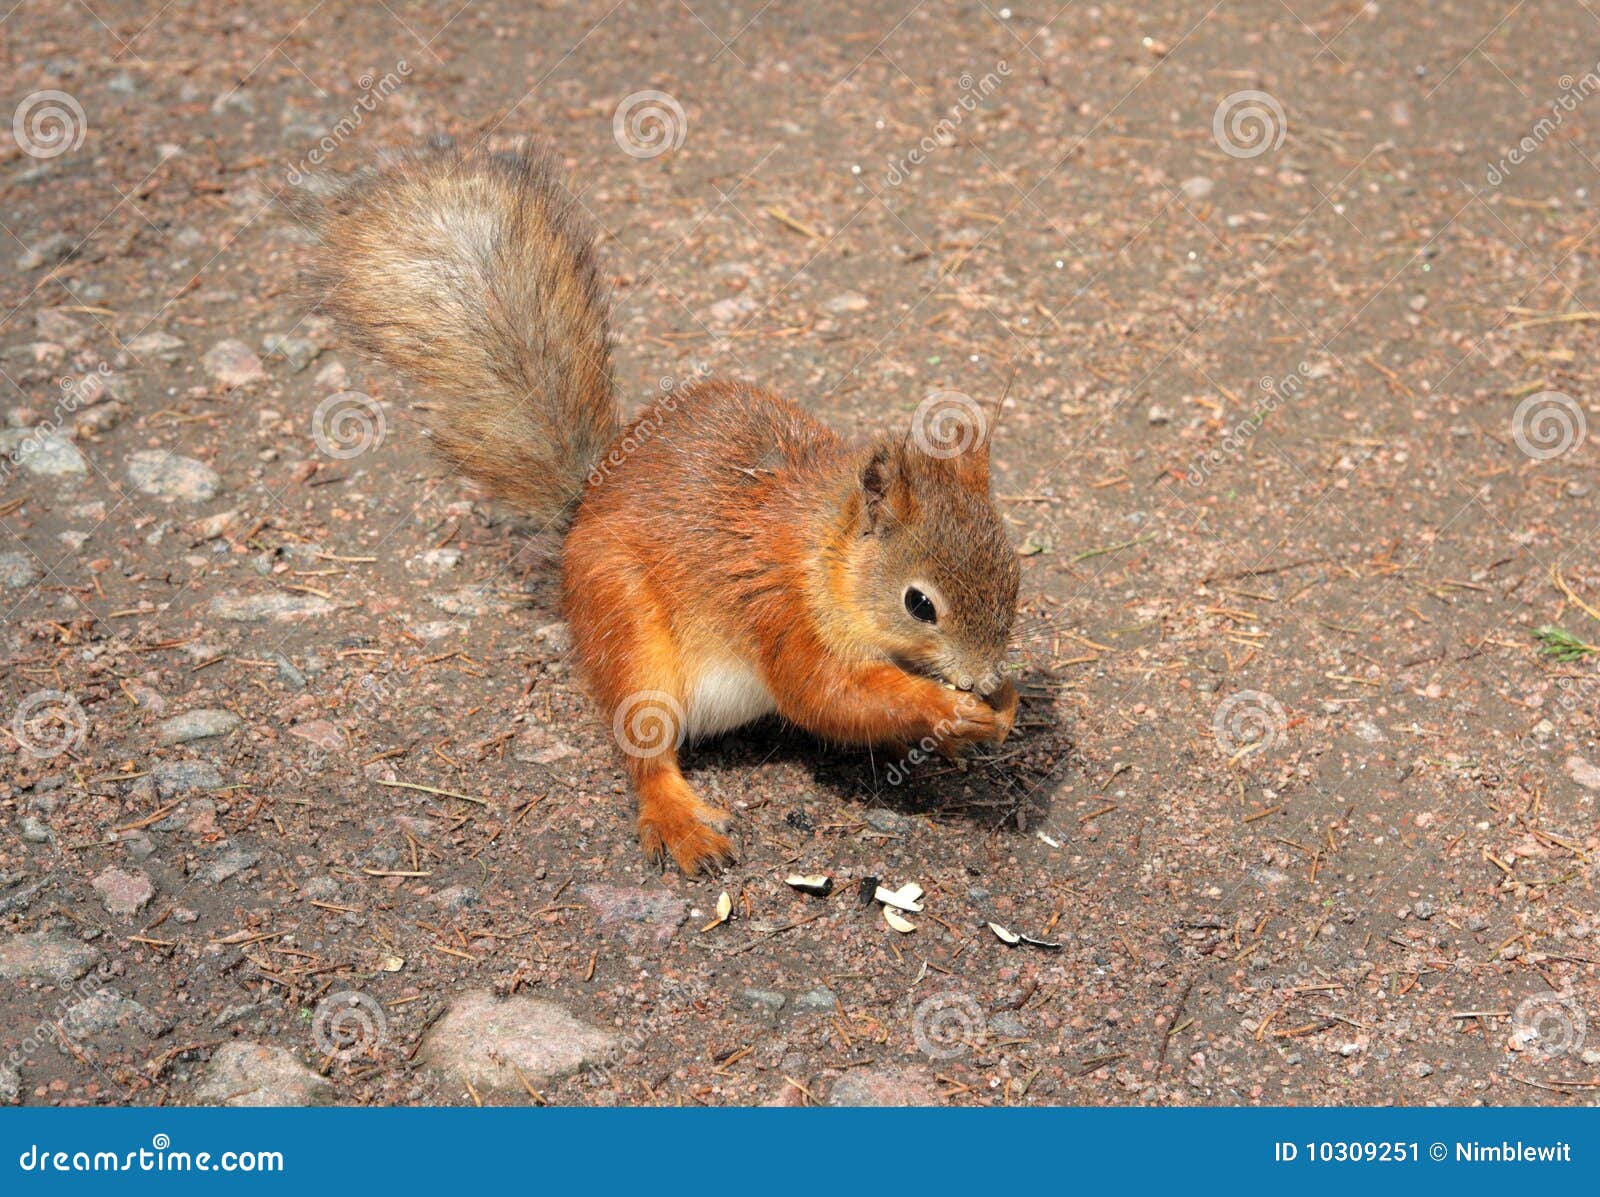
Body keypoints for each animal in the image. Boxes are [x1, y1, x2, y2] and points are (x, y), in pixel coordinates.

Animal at [297, 141, 1021, 875]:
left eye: (1016, 577)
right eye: (919, 604)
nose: (985, 676)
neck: (822, 552)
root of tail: (582, 511)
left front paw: (993, 712)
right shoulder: (779, 611)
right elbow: (826, 694)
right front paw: (949, 709)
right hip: (628, 632)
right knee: (643, 749)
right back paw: (678, 820)